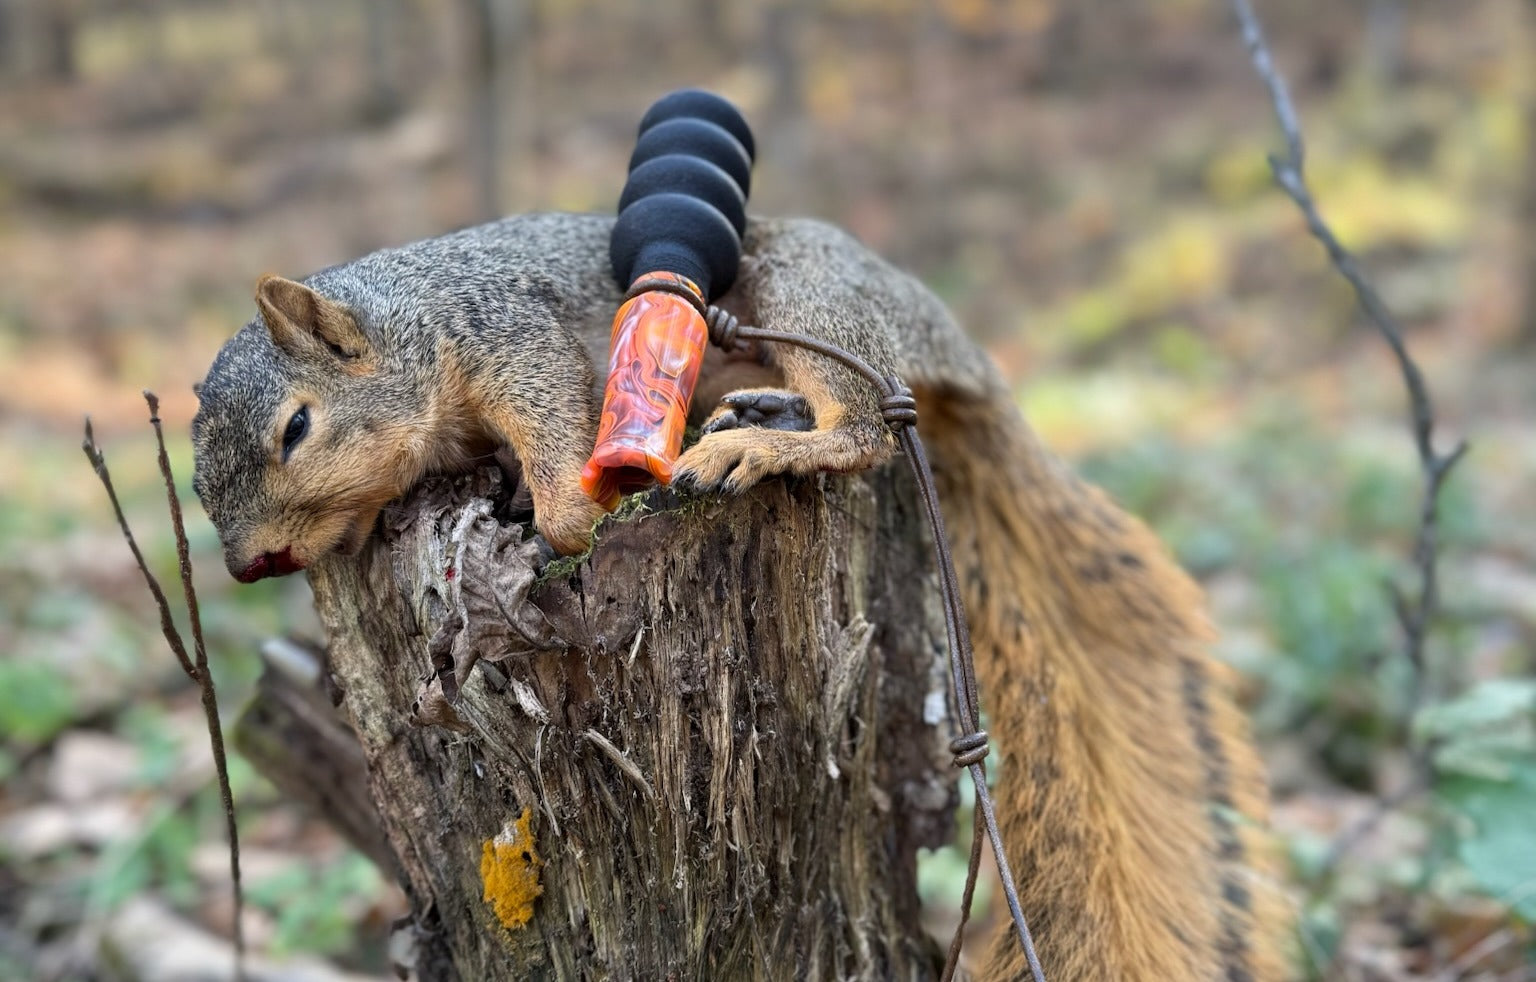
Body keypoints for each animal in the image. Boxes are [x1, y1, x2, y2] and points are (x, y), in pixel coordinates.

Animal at [192, 211, 1293, 980]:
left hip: (804, 292)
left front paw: (567, 517)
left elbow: (551, 428)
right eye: (200, 485)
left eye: (297, 428)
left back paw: (761, 442)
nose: (249, 566)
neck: (415, 321)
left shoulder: (511, 337)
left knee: (865, 431)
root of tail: (959, 356)